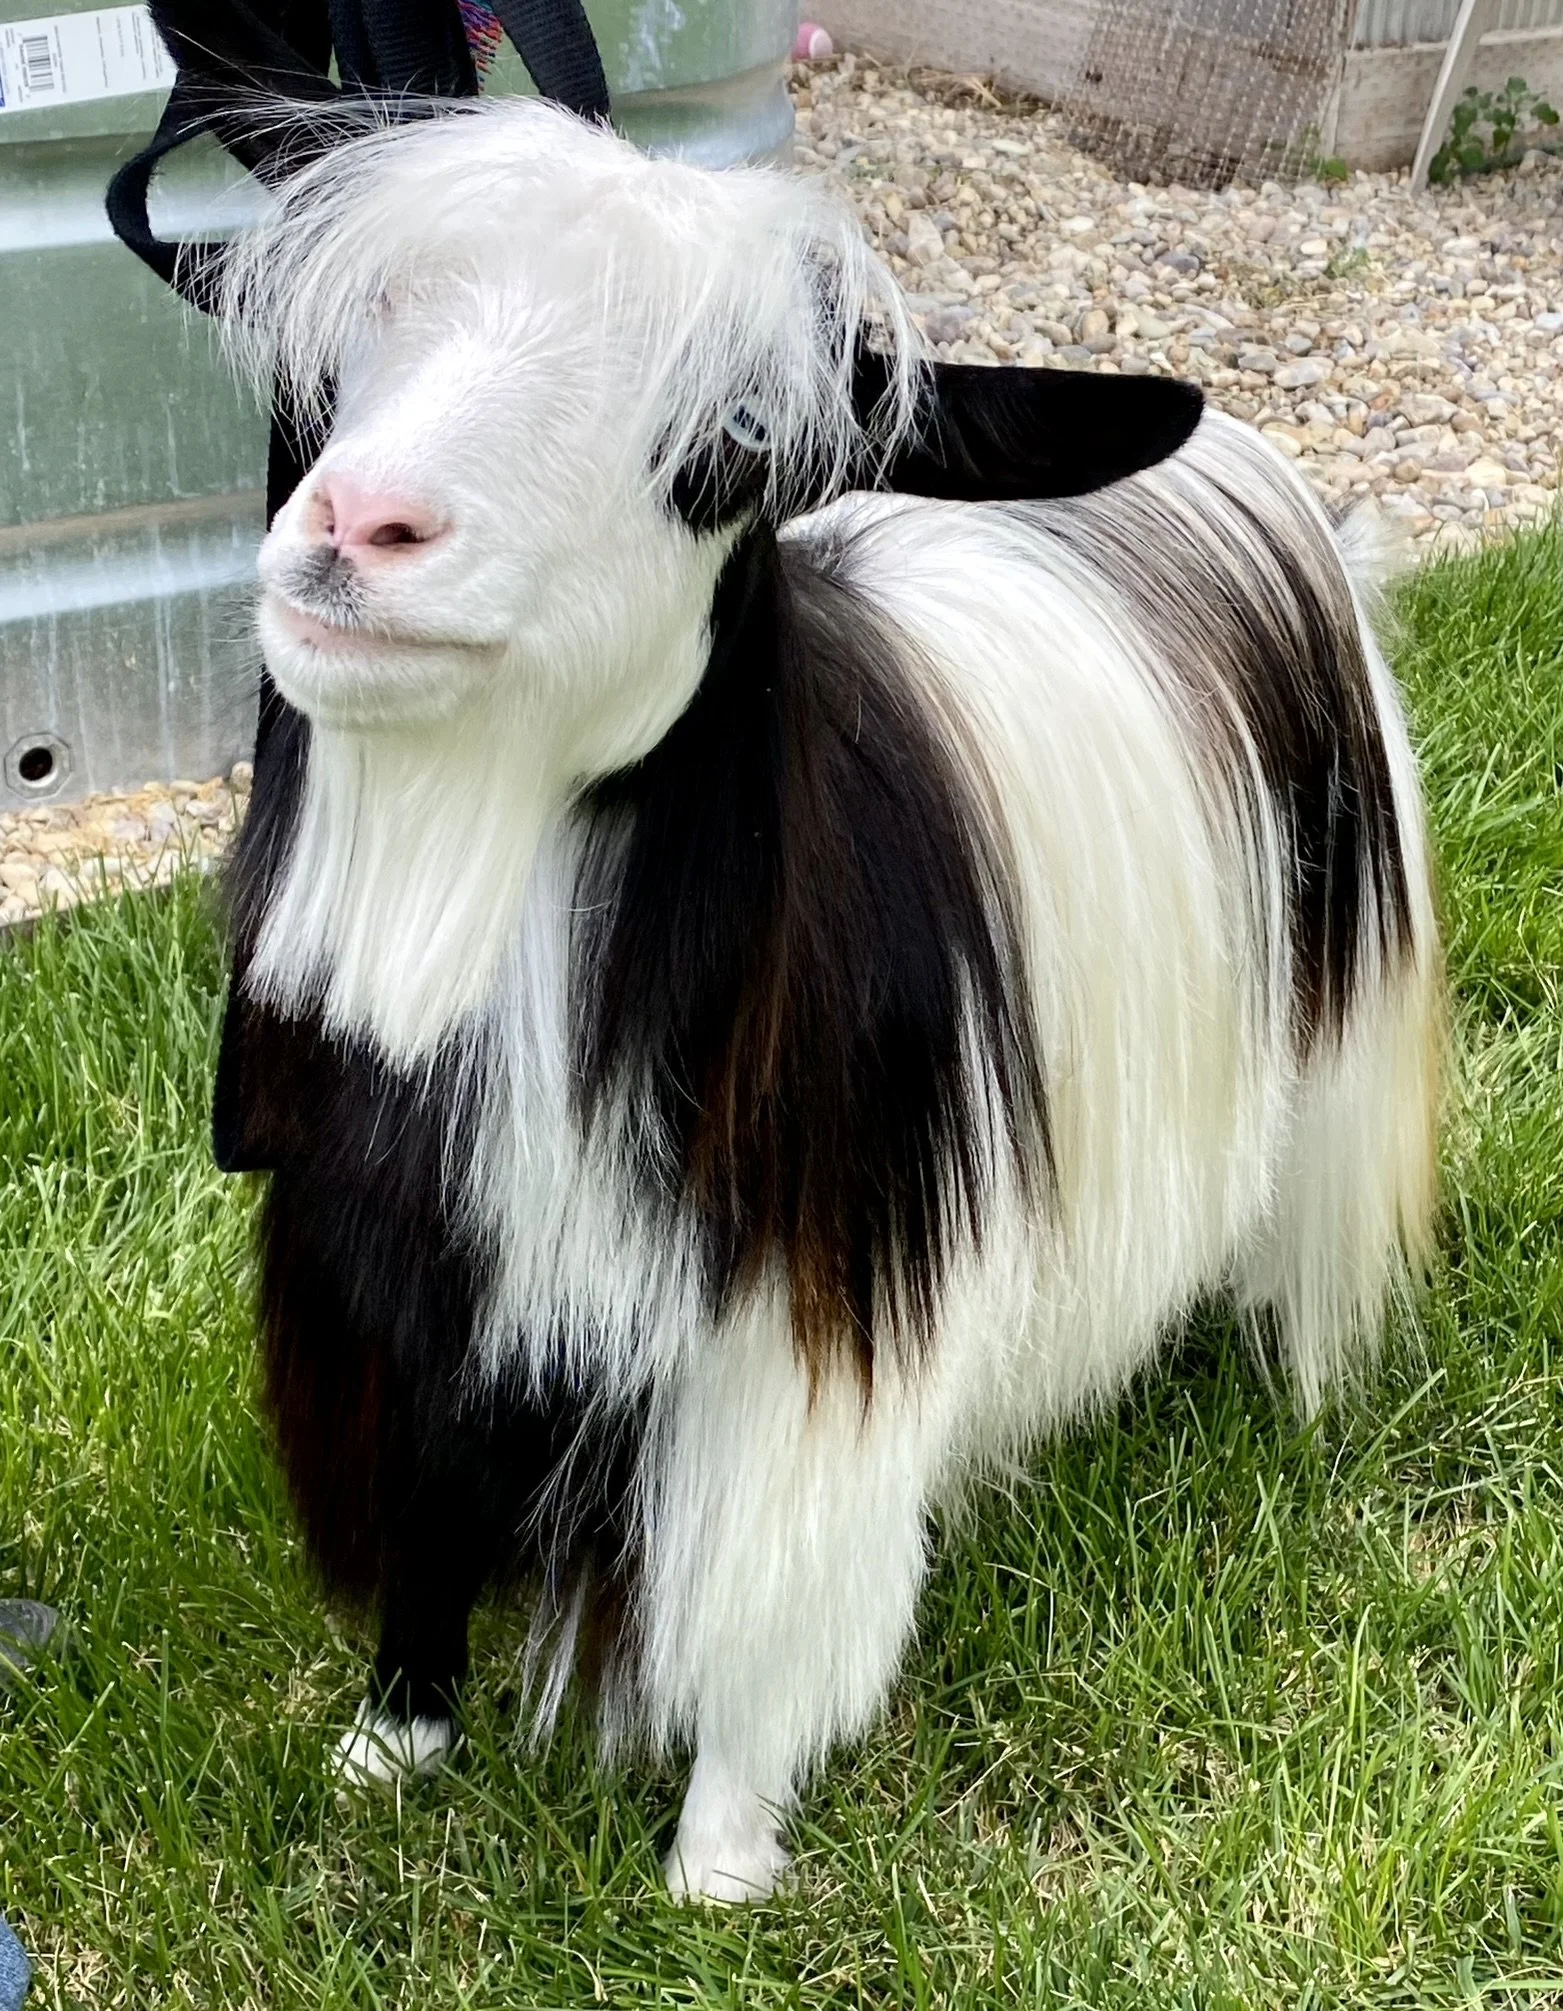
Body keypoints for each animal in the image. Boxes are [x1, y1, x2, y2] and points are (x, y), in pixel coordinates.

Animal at [214, 99, 1441, 1902]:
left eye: (727, 442)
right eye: (364, 337)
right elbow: (426, 1509)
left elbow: (765, 1598)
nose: (360, 526)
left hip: (1334, 1031)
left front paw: (716, 1866)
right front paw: (391, 1745)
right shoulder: (401, 1265)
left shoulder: (806, 1330)